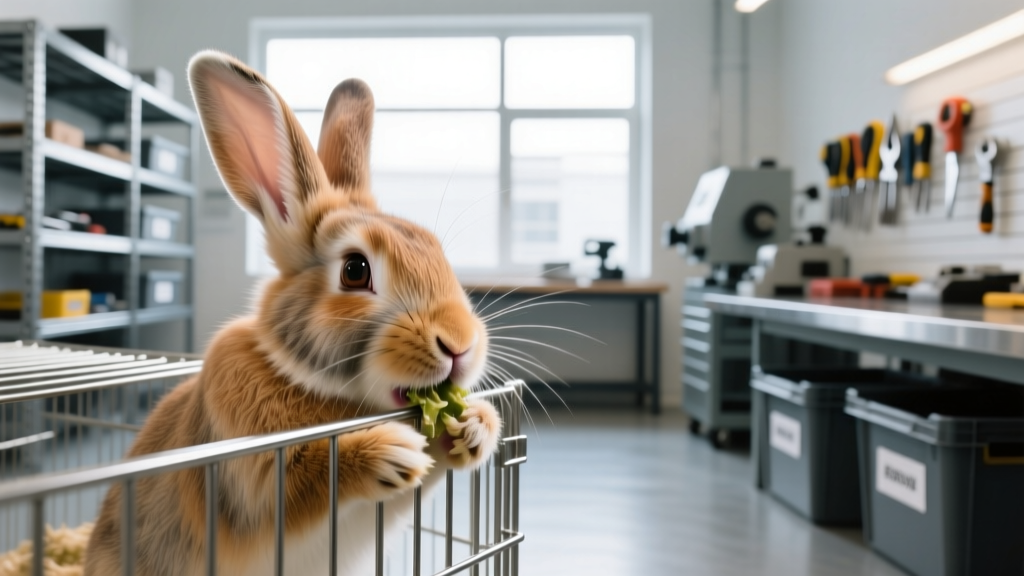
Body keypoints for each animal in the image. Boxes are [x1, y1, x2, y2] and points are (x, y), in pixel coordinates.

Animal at [84, 50, 502, 576]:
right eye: (355, 270)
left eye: (436, 251)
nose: (460, 345)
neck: (307, 382)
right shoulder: (247, 481)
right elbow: (299, 477)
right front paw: (388, 452)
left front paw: (475, 427)